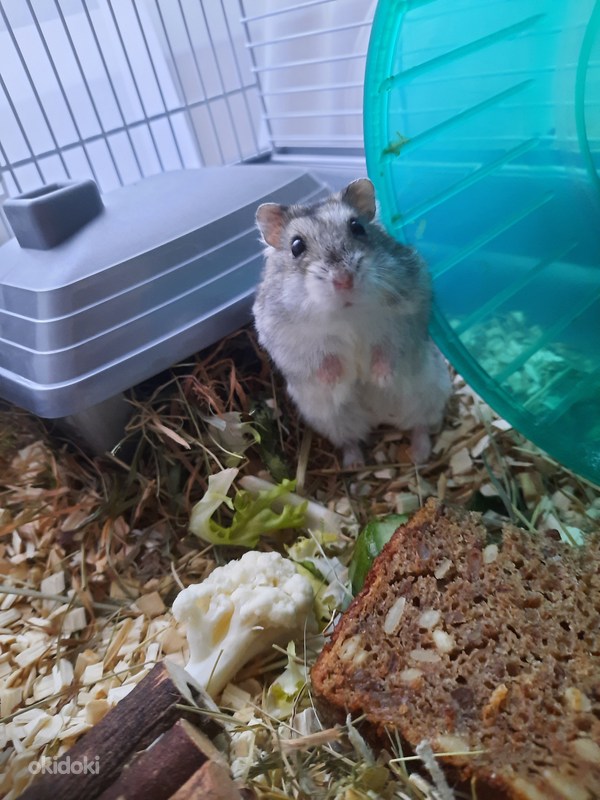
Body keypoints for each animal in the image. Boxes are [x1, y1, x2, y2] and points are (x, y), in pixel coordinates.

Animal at [252, 178, 451, 467]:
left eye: (357, 227)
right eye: (296, 246)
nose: (344, 279)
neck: (347, 314)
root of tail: (380, 416)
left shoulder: (405, 319)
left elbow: (388, 350)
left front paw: (378, 379)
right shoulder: (288, 339)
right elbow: (321, 360)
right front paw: (339, 382)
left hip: (428, 393)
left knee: (420, 425)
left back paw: (418, 455)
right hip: (330, 420)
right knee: (350, 439)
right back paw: (354, 463)